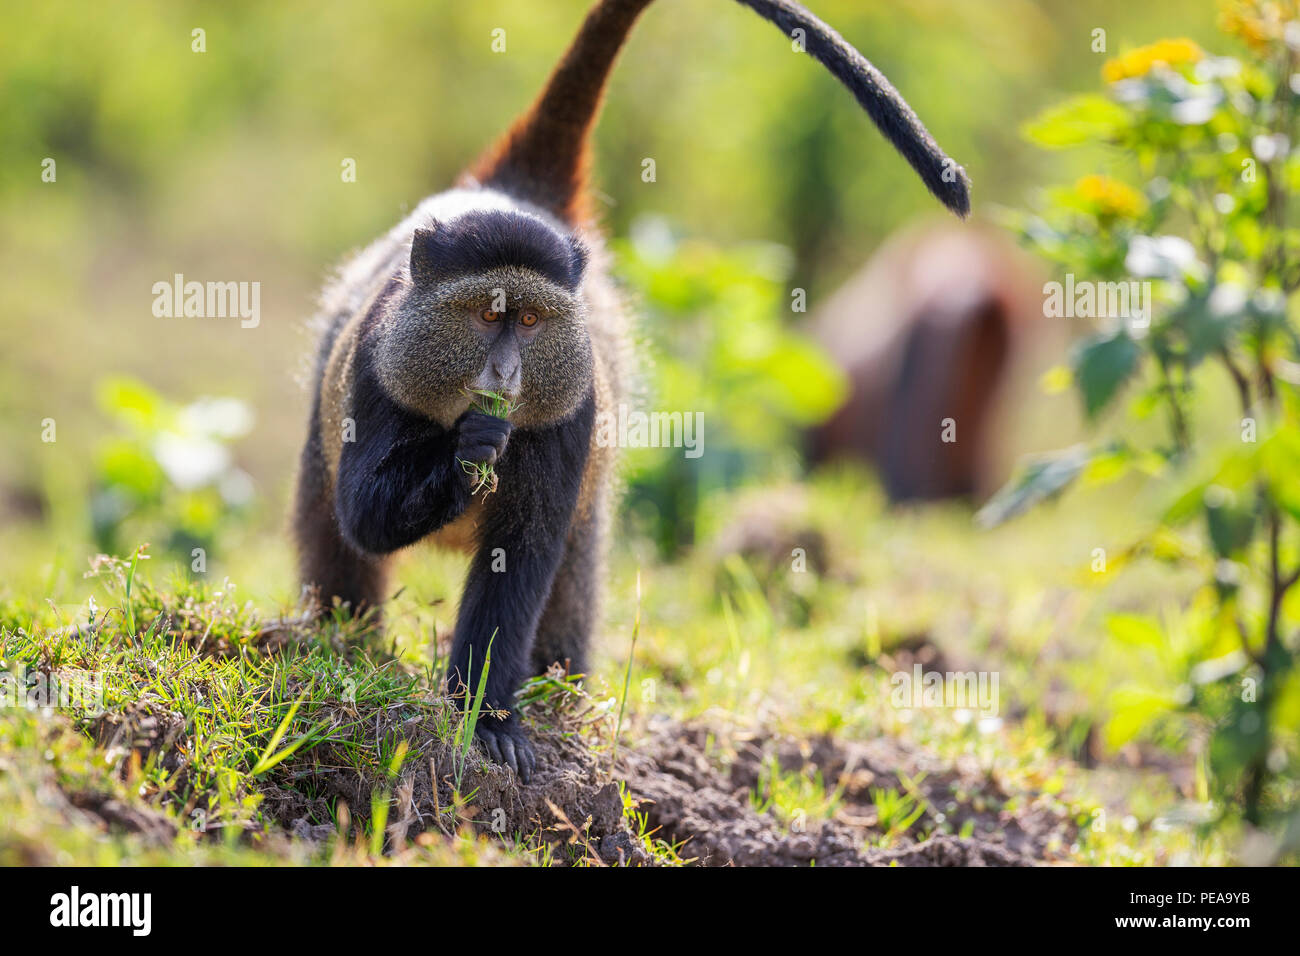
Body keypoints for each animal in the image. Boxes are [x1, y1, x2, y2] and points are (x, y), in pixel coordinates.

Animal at [293, 0, 970, 783]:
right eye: (487, 314)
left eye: (529, 320)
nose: (505, 375)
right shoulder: (375, 363)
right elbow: (363, 516)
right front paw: (468, 454)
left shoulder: (572, 412)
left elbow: (522, 558)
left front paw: (490, 721)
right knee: (328, 527)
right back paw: (343, 644)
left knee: (570, 575)